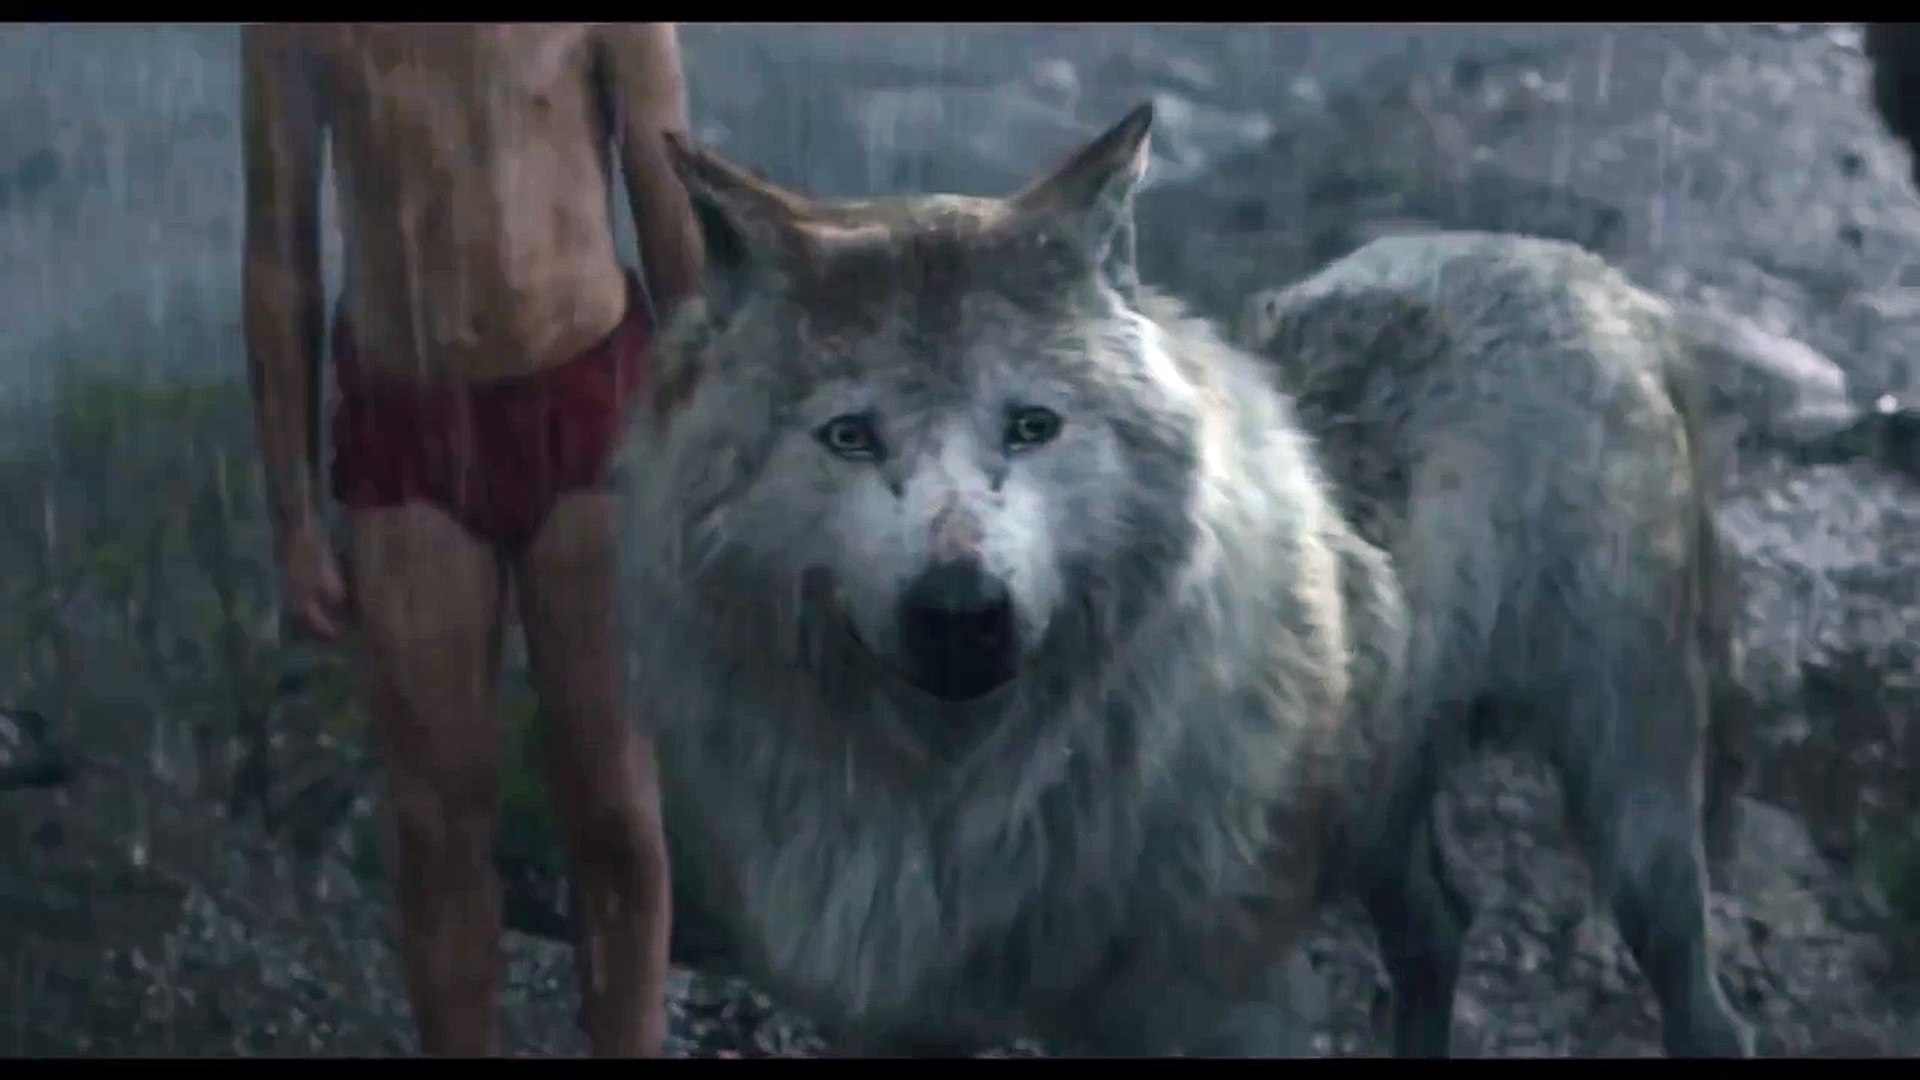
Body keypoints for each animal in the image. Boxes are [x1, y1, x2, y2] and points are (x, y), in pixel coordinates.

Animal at [614, 102, 1751, 1056]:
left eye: (1032, 425)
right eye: (851, 436)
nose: (963, 613)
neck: (960, 792)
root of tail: (1588, 274)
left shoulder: (1222, 1008)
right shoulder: (901, 1019)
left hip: (1630, 805)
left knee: (1705, 1004)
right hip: (1387, 810)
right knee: (1442, 924)